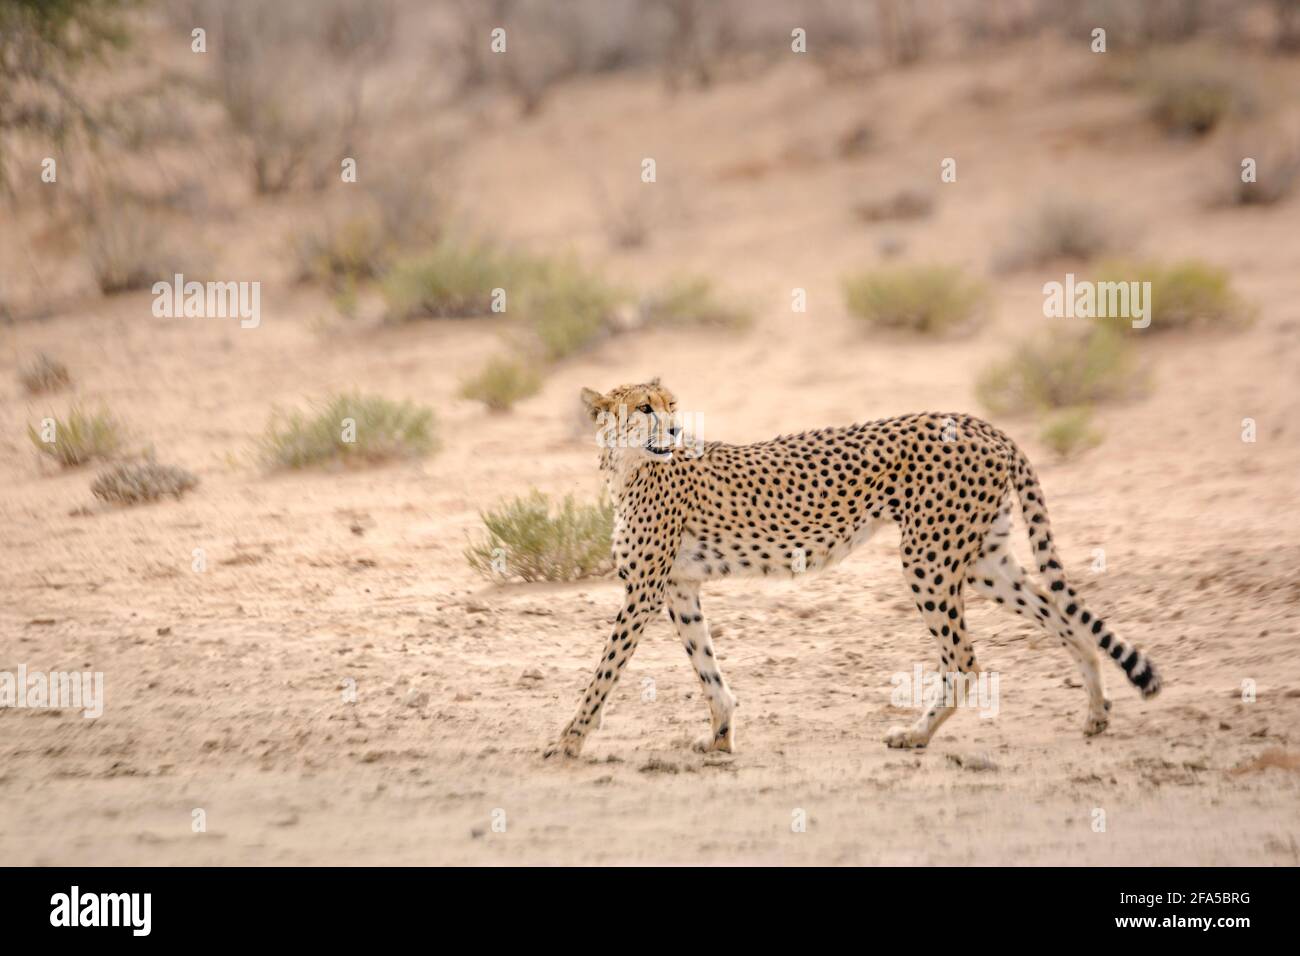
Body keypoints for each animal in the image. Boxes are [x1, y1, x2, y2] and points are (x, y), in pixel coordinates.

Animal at [543, 378, 1161, 758]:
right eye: (645, 408)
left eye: (671, 406)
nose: (674, 430)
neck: (628, 467)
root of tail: (977, 421)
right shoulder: (679, 589)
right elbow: (706, 667)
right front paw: (720, 737)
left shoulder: (645, 591)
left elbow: (604, 672)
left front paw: (567, 742)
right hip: (984, 559)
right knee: (1064, 616)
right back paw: (1097, 713)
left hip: (929, 558)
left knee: (964, 658)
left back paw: (917, 734)